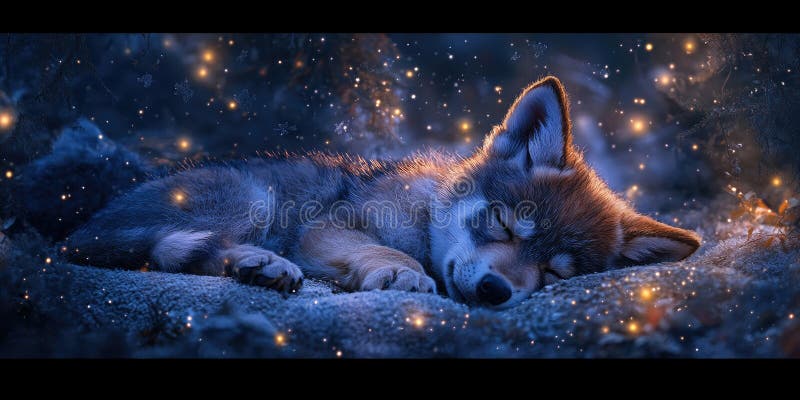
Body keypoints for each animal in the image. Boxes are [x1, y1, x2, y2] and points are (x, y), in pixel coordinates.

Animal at [63, 76, 700, 309]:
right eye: (502, 223)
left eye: (556, 273)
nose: (495, 291)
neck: (424, 212)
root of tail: (76, 234)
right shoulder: (324, 227)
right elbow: (386, 252)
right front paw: (401, 273)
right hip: (252, 197)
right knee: (182, 250)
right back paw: (261, 264)